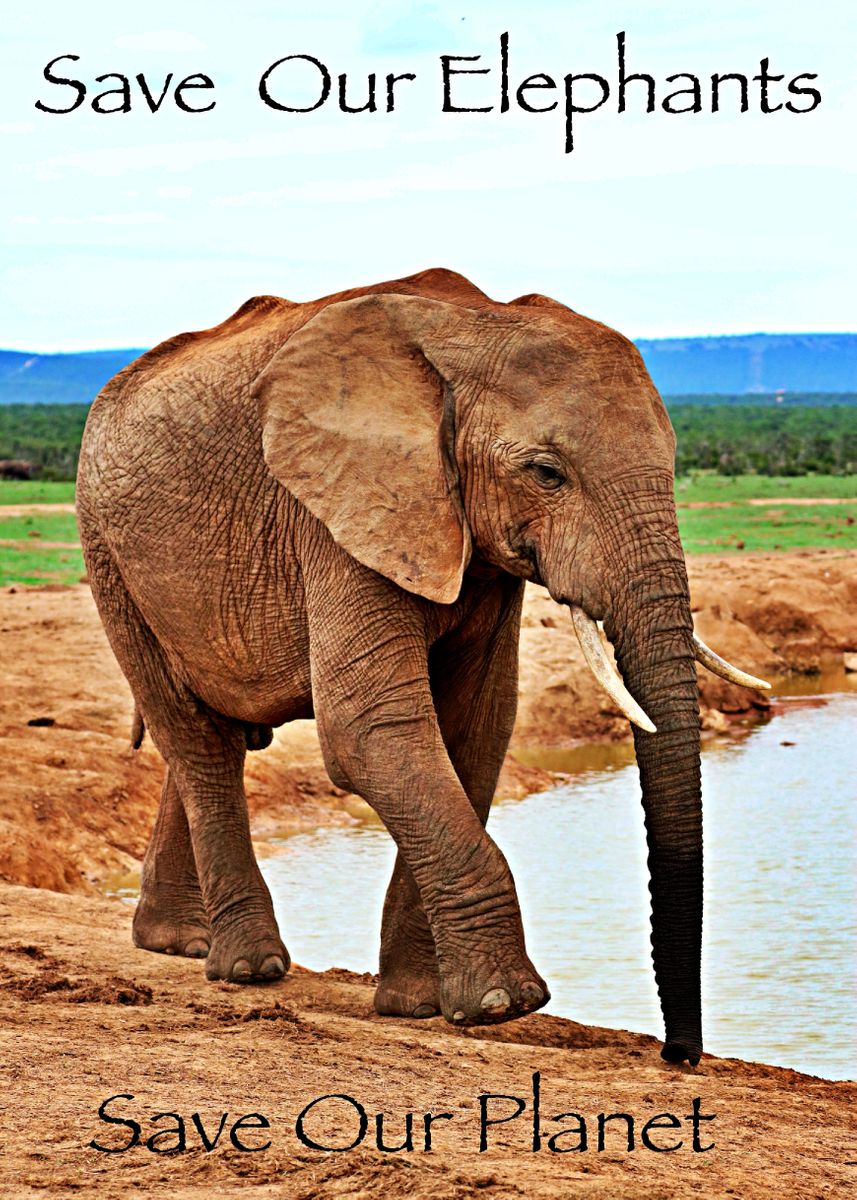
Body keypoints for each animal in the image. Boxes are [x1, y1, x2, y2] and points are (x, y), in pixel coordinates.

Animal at [76, 267, 767, 1065]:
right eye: (547, 473)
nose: (676, 1053)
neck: (473, 328)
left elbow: (474, 728)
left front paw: (418, 1006)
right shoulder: (339, 512)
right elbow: (372, 731)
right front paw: (504, 1004)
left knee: (213, 732)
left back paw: (175, 942)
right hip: (108, 552)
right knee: (197, 737)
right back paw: (248, 968)